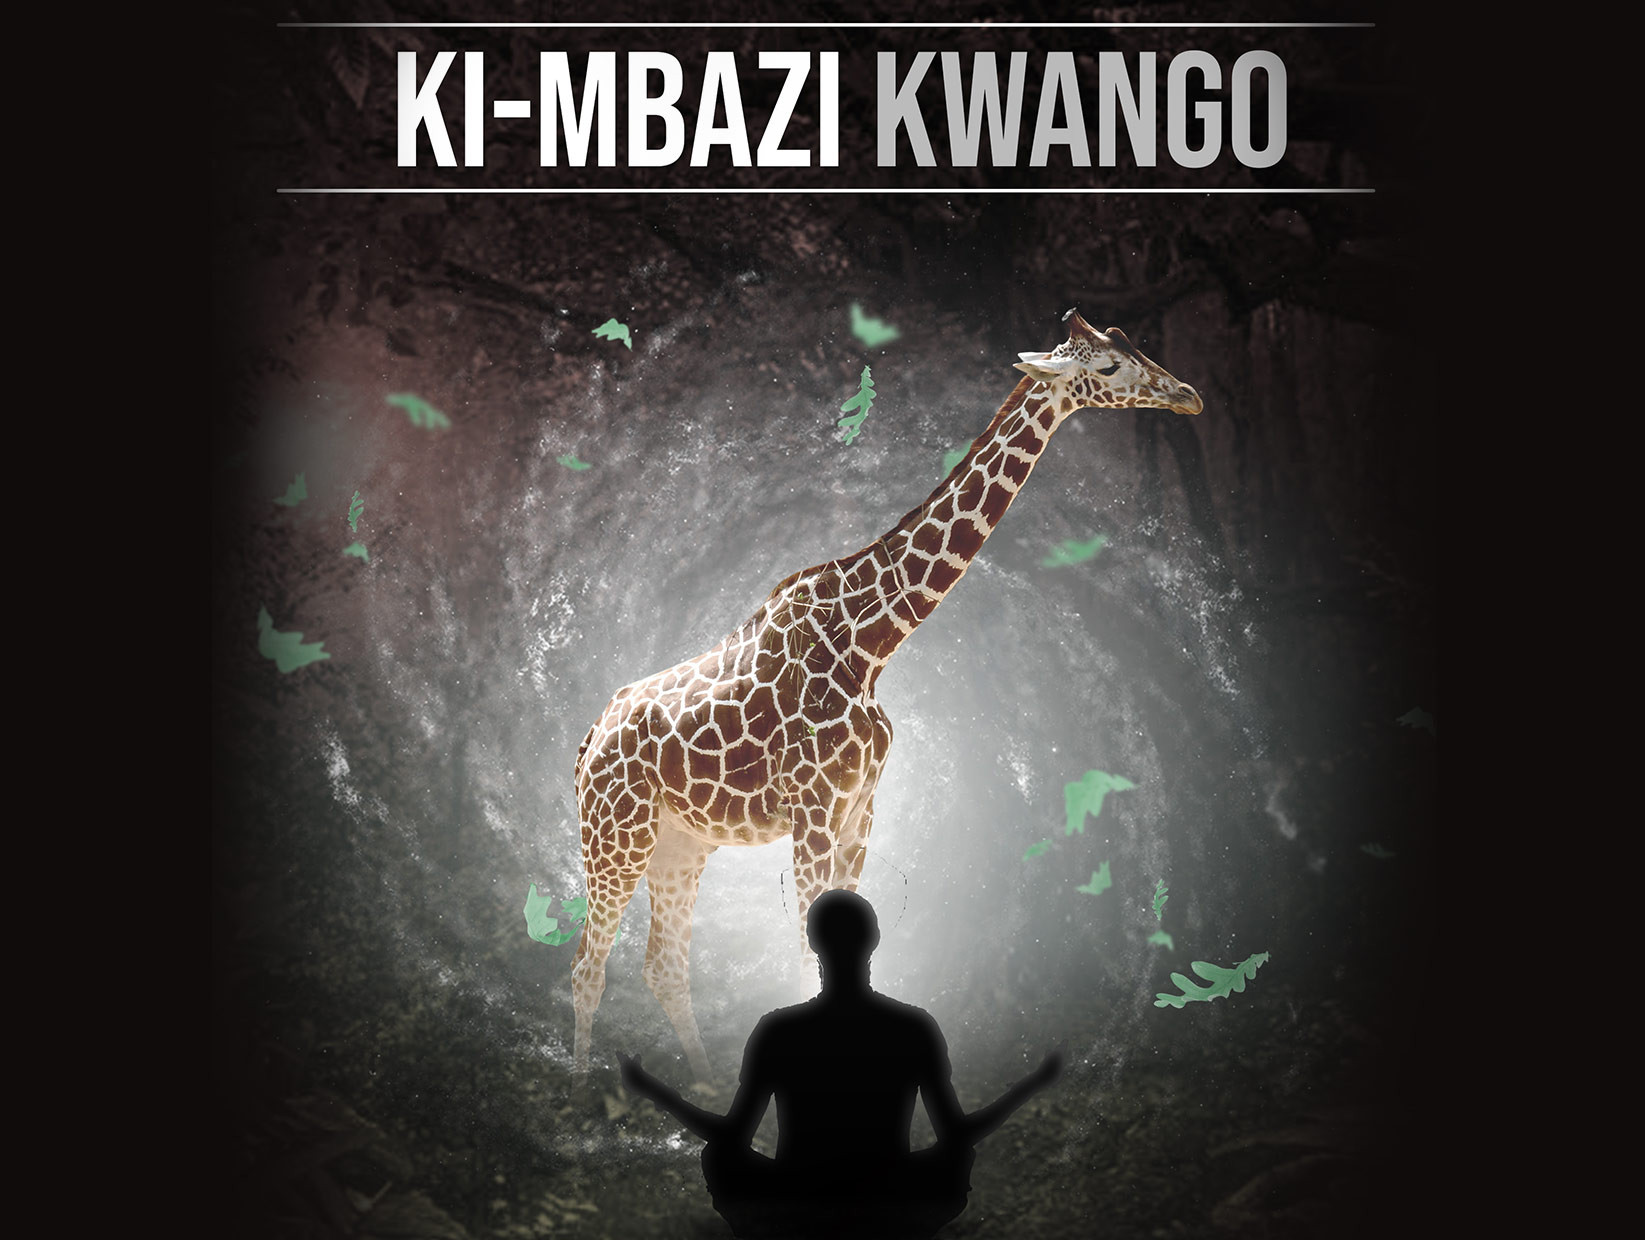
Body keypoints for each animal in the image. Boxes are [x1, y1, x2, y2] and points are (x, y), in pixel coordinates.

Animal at [570, 311, 1202, 1080]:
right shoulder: (813, 810)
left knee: (662, 963)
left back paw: (709, 1083)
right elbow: (801, 951)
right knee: (588, 960)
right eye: (1107, 368)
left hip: (680, 844)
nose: (1188, 395)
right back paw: (579, 1086)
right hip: (615, 834)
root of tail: (586, 744)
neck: (870, 644)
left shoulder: (860, 811)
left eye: (1131, 346)